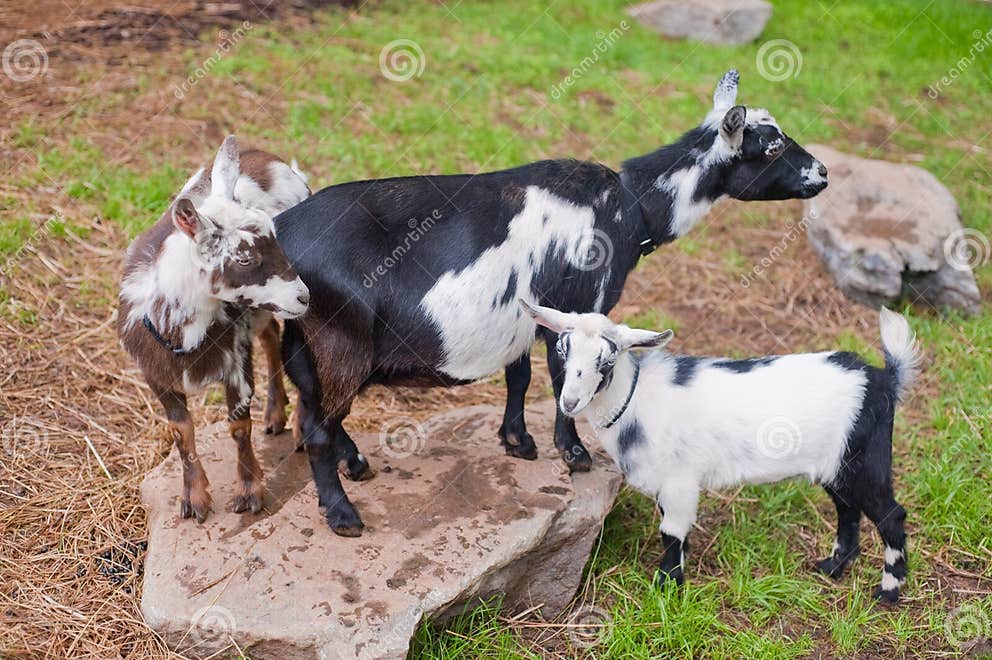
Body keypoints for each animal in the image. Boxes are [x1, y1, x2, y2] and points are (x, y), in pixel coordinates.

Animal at [118, 136, 311, 522]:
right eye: (245, 258)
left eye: (276, 237)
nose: (303, 296)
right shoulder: (155, 373)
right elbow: (181, 431)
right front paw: (193, 499)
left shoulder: (235, 363)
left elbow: (238, 427)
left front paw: (249, 493)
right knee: (270, 336)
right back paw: (275, 413)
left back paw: (298, 426)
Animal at [275, 69, 829, 536]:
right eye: (771, 146)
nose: (822, 174)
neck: (631, 206)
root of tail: (279, 230)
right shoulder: (580, 308)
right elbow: (565, 382)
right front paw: (574, 454)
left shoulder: (525, 315)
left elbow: (519, 375)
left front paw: (517, 441)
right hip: (343, 339)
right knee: (317, 425)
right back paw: (342, 513)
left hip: (306, 337)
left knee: (312, 405)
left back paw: (355, 463)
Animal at [520, 300, 920, 603]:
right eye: (562, 350)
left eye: (607, 359)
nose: (570, 402)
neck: (634, 399)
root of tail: (883, 379)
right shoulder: (667, 483)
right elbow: (675, 530)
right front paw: (678, 569)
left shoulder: (679, 480)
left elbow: (670, 531)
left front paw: (667, 586)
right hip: (838, 466)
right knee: (847, 510)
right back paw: (832, 568)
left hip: (866, 461)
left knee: (891, 516)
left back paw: (888, 591)